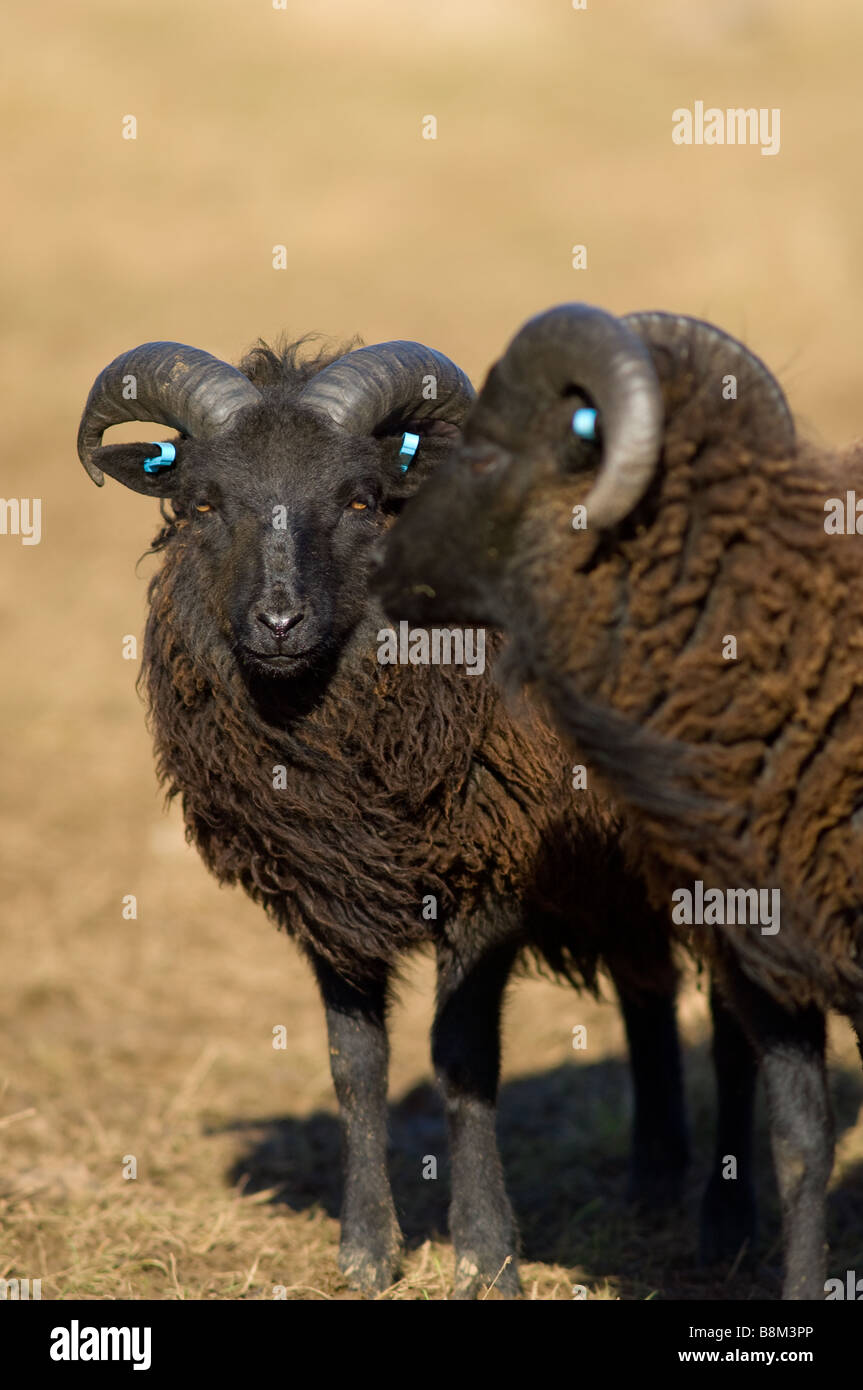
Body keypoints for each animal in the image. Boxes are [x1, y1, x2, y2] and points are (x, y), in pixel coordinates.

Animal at [76, 332, 694, 1299]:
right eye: (204, 502)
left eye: (361, 499)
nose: (279, 621)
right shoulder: (326, 898)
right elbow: (354, 1067)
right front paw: (366, 1252)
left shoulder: (488, 875)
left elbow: (463, 1061)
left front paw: (486, 1256)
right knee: (649, 986)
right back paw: (658, 1182)